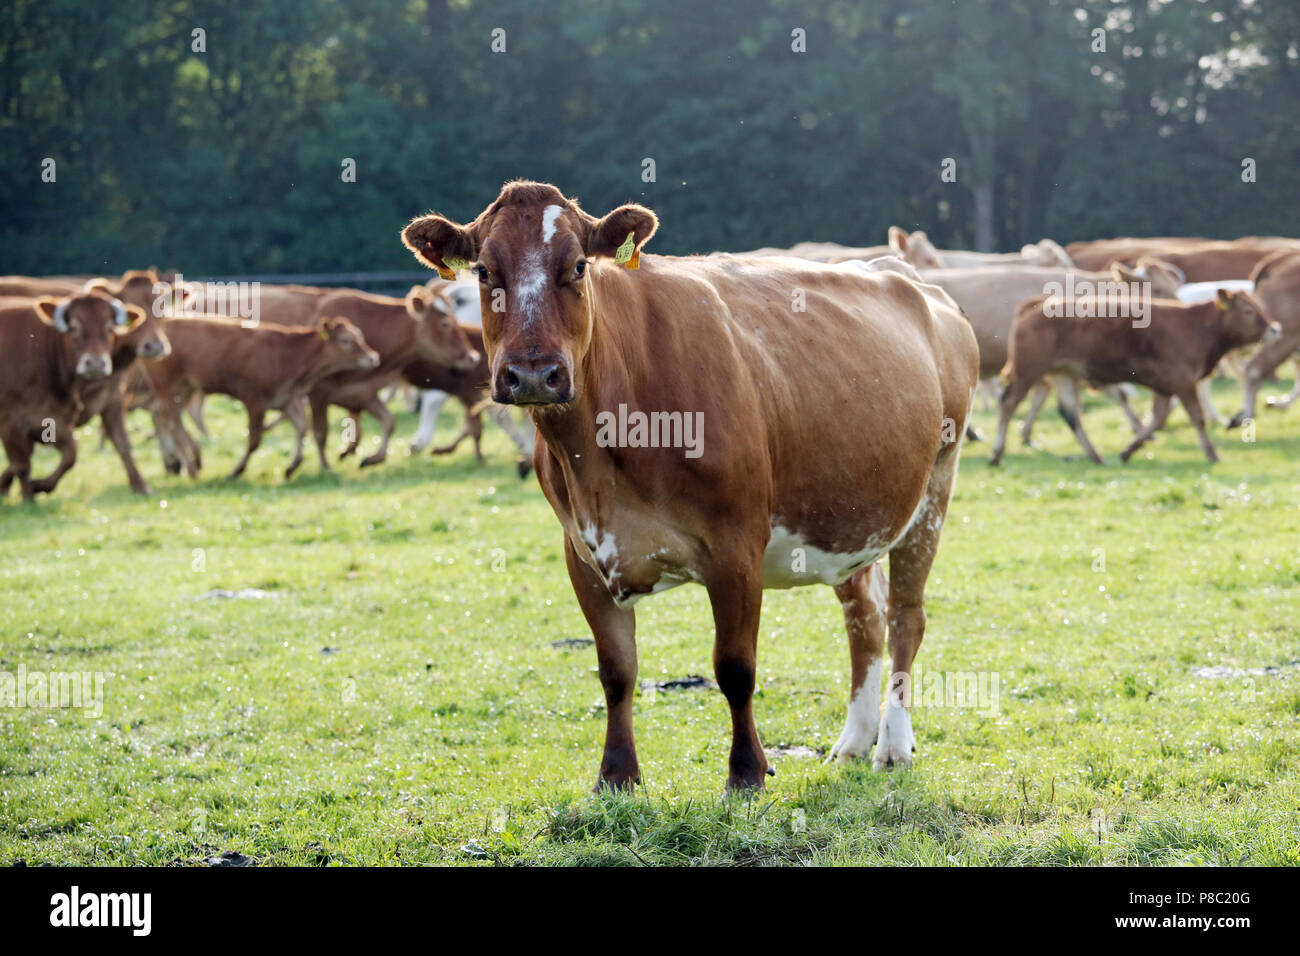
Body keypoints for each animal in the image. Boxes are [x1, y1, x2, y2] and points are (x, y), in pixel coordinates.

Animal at [0, 292, 142, 501]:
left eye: (109, 328)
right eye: (74, 328)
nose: (96, 363)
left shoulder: (54, 420)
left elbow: (70, 456)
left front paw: (40, 486)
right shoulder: (10, 421)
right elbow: (22, 465)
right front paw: (28, 499)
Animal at [142, 315, 378, 479]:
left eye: (361, 337)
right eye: (346, 340)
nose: (373, 357)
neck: (286, 353)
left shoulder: (287, 399)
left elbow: (303, 430)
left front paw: (294, 467)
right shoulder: (254, 401)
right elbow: (254, 440)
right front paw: (237, 470)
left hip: (187, 387)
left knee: (171, 418)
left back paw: (193, 460)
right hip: (166, 386)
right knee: (169, 420)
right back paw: (191, 468)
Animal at [300, 286, 478, 472]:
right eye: (445, 323)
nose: (473, 357)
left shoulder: (364, 393)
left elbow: (388, 421)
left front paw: (372, 458)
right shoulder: (319, 392)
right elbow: (321, 432)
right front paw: (326, 466)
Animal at [402, 181, 979, 790]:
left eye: (579, 266)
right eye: (484, 271)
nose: (533, 373)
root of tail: (909, 277)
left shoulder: (736, 549)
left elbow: (735, 668)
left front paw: (746, 773)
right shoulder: (582, 552)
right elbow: (616, 671)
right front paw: (616, 776)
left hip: (933, 491)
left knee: (905, 618)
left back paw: (892, 744)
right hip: (846, 515)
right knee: (864, 617)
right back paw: (852, 741)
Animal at [990, 289, 1280, 466]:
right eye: (1248, 310)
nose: (1275, 329)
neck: (1198, 326)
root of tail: (1036, 304)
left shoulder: (1165, 386)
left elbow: (1158, 419)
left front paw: (1128, 450)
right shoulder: (1183, 381)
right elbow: (1197, 418)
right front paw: (1212, 453)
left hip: (1062, 374)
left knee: (1071, 413)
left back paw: (1095, 456)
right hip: (1027, 371)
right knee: (1008, 404)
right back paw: (996, 452)